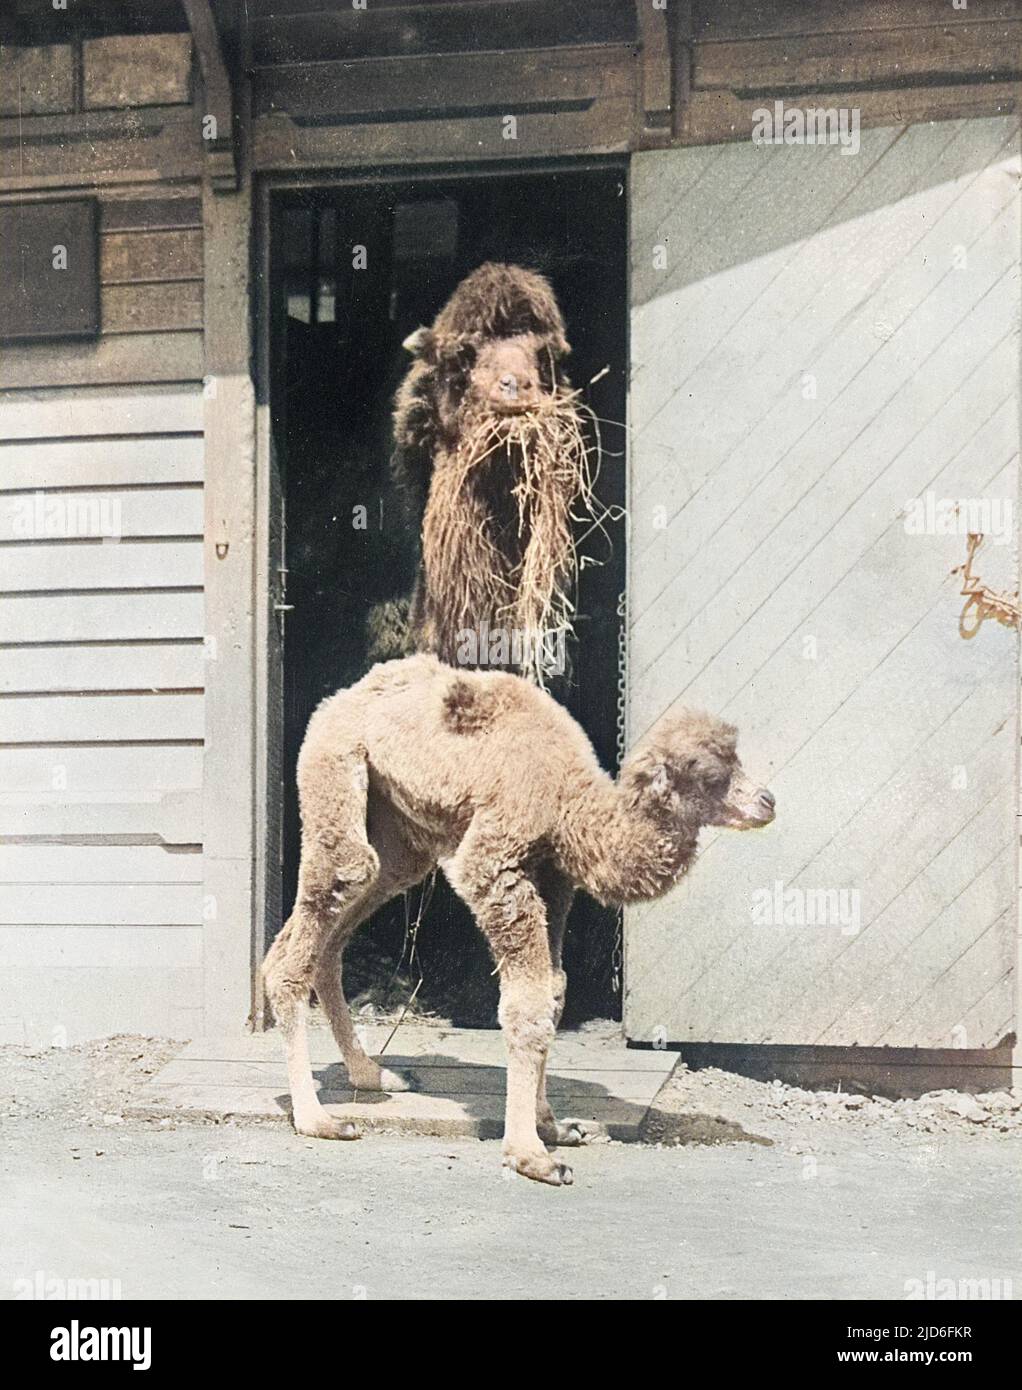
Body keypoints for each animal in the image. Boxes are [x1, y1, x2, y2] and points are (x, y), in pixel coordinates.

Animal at [262, 655, 775, 1186]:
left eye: (736, 761)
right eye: (710, 773)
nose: (768, 801)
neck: (570, 801)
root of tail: (333, 704)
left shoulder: (554, 878)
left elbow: (553, 992)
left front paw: (553, 1126)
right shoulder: (493, 865)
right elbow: (524, 1007)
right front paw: (531, 1155)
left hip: (397, 834)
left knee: (328, 938)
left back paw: (373, 1074)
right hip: (336, 777)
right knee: (322, 909)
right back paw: (318, 1119)